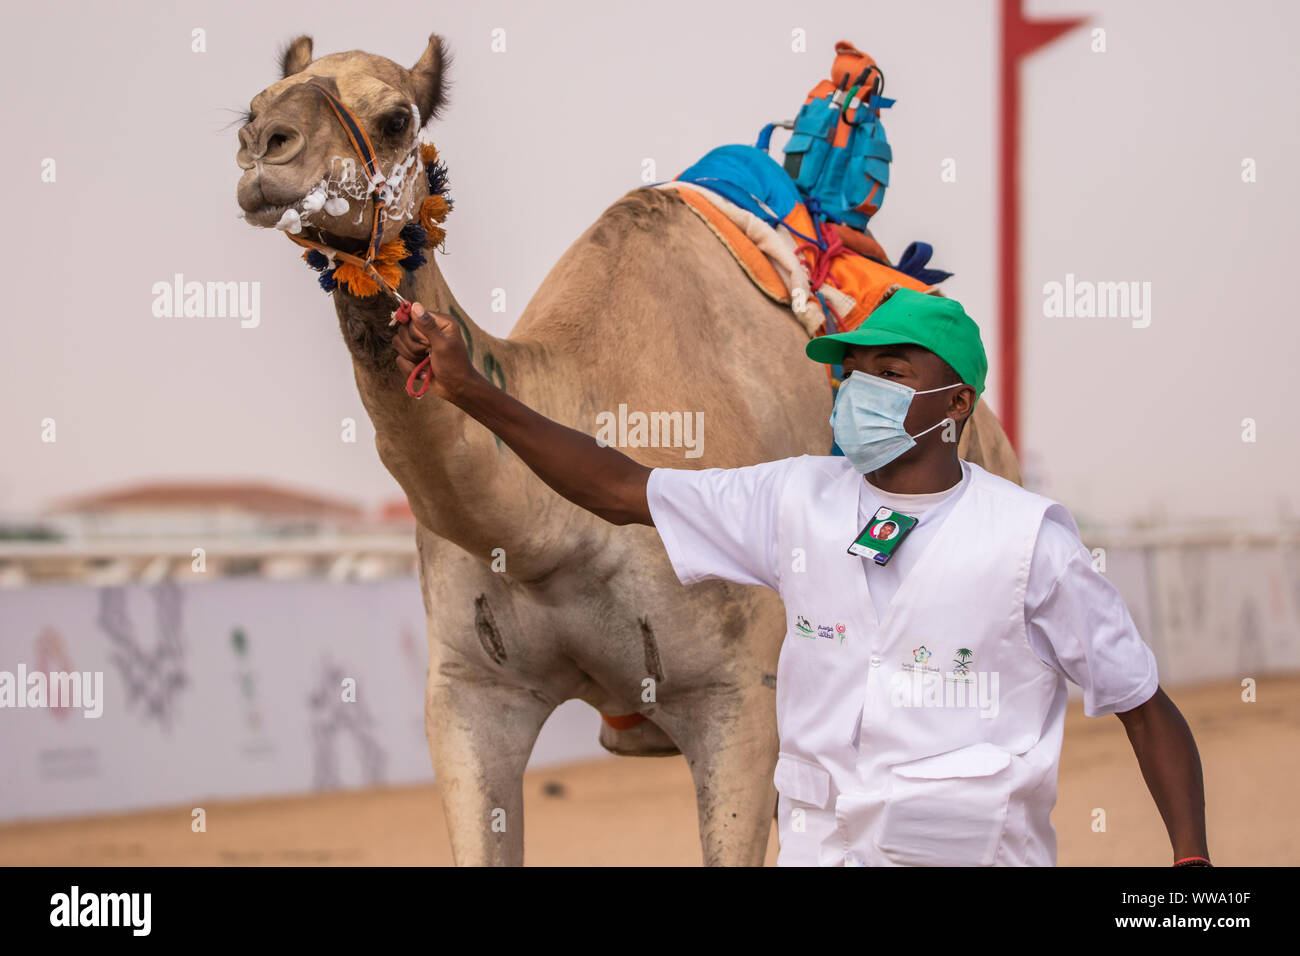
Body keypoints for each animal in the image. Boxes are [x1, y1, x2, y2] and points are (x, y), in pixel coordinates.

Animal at [233, 32, 1022, 865]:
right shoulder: (469, 690)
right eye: (257, 102)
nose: (263, 148)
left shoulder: (737, 694)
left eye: (395, 119)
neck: (547, 540)